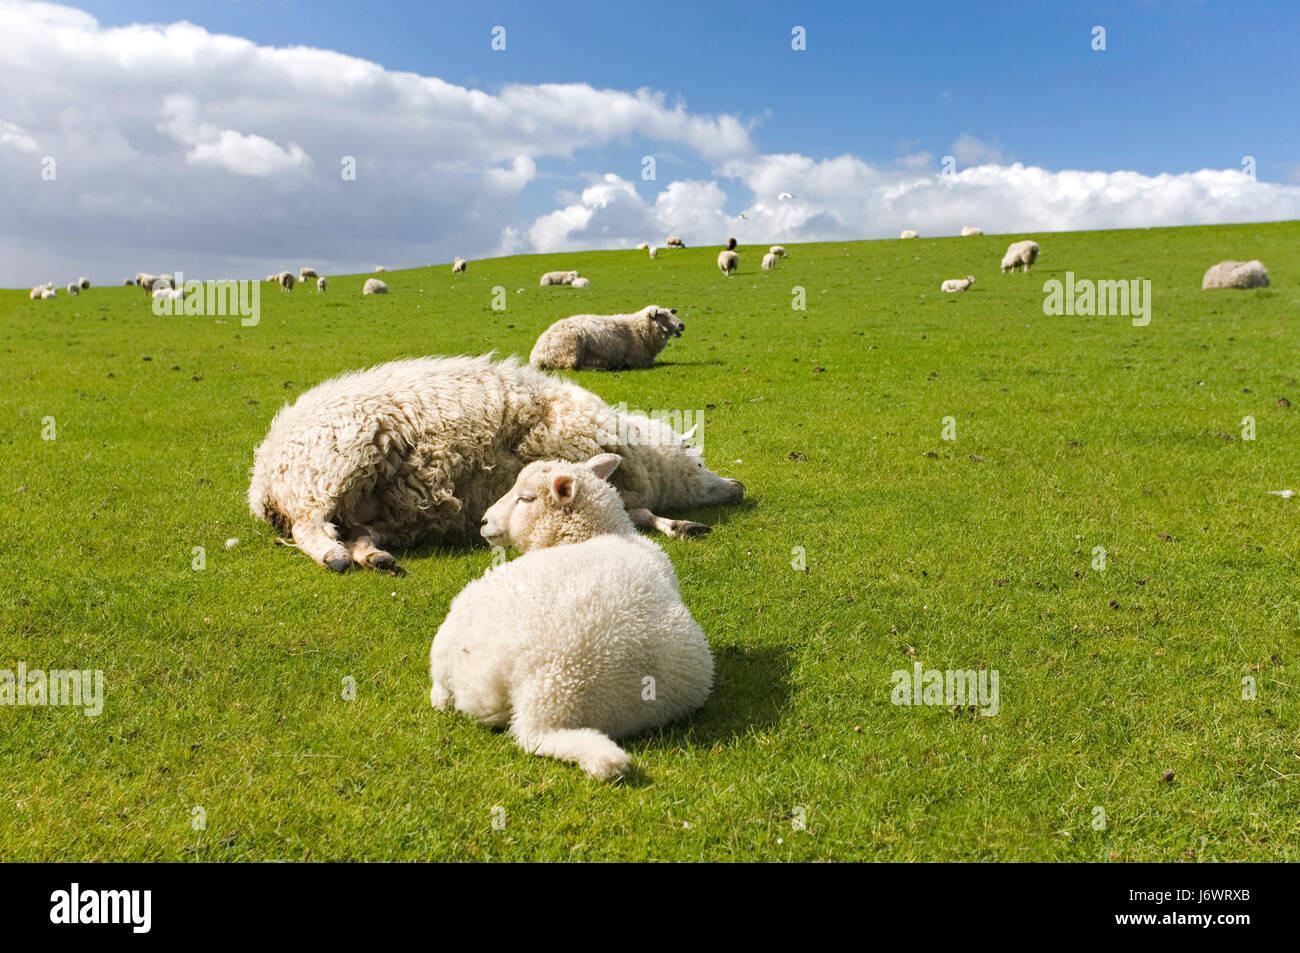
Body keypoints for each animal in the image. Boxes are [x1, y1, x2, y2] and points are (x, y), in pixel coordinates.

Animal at [247, 354, 744, 573]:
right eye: (700, 466)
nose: (738, 487)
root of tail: (263, 477)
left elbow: (638, 513)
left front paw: (679, 526)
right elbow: (635, 510)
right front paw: (676, 522)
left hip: (373, 509)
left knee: (356, 533)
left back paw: (374, 557)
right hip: (328, 470)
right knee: (309, 527)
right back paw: (333, 556)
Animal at [530, 304, 684, 371]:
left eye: (671, 313)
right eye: (662, 315)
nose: (682, 325)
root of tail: (536, 356)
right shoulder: (636, 361)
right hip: (571, 350)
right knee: (572, 367)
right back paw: (600, 368)